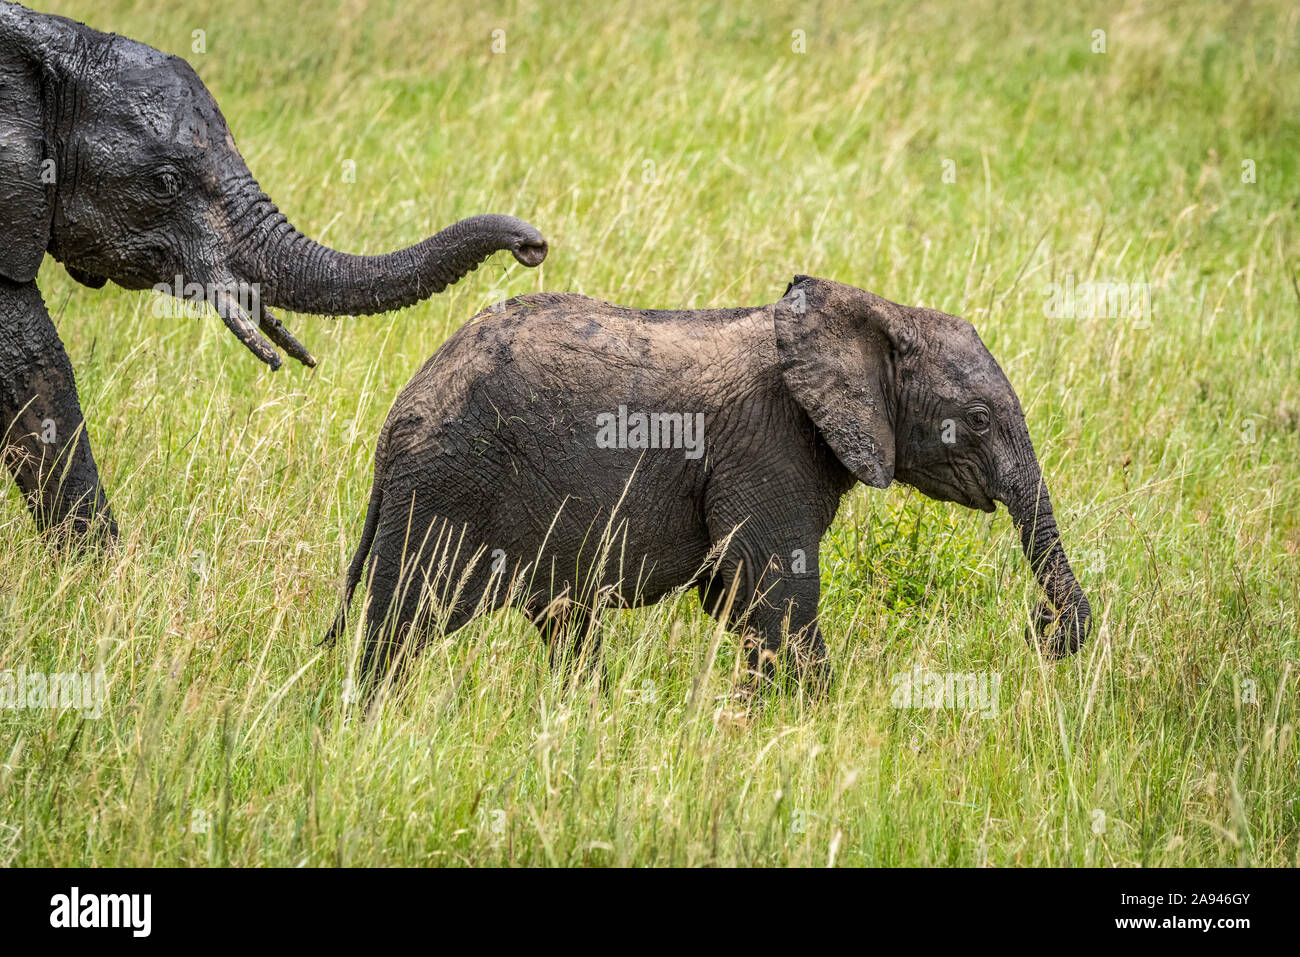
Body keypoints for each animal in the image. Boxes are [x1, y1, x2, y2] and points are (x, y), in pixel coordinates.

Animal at [325, 276, 1092, 692]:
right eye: (979, 418)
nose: (1042, 628)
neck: (873, 313)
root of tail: (395, 420)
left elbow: (738, 598)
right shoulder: (767, 447)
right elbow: (778, 594)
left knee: (565, 626)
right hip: (445, 487)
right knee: (399, 629)